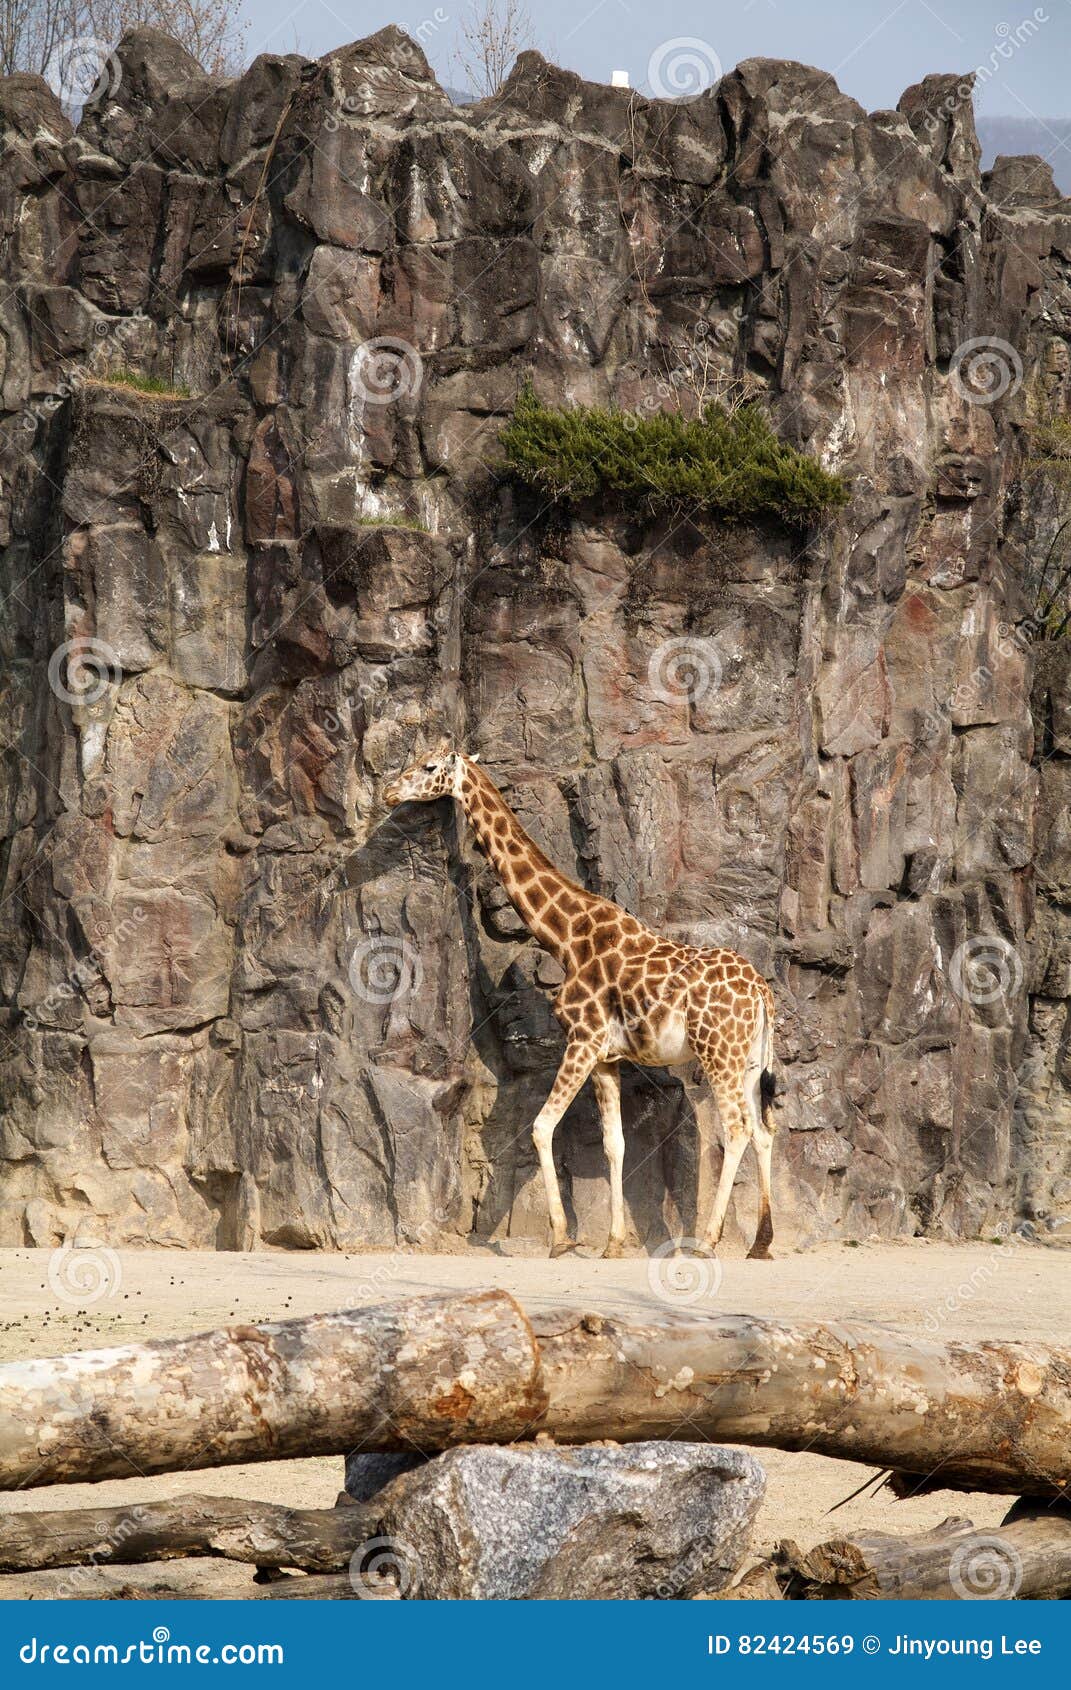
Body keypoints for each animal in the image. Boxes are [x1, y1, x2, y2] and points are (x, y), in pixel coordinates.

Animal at [383, 740, 777, 1260]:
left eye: (428, 766)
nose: (388, 792)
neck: (566, 937)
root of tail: (763, 992)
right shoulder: (607, 1057)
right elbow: (615, 1143)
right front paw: (612, 1242)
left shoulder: (583, 1039)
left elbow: (540, 1127)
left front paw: (560, 1237)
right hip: (749, 1059)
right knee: (764, 1130)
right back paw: (761, 1243)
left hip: (718, 1053)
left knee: (736, 1128)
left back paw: (709, 1242)